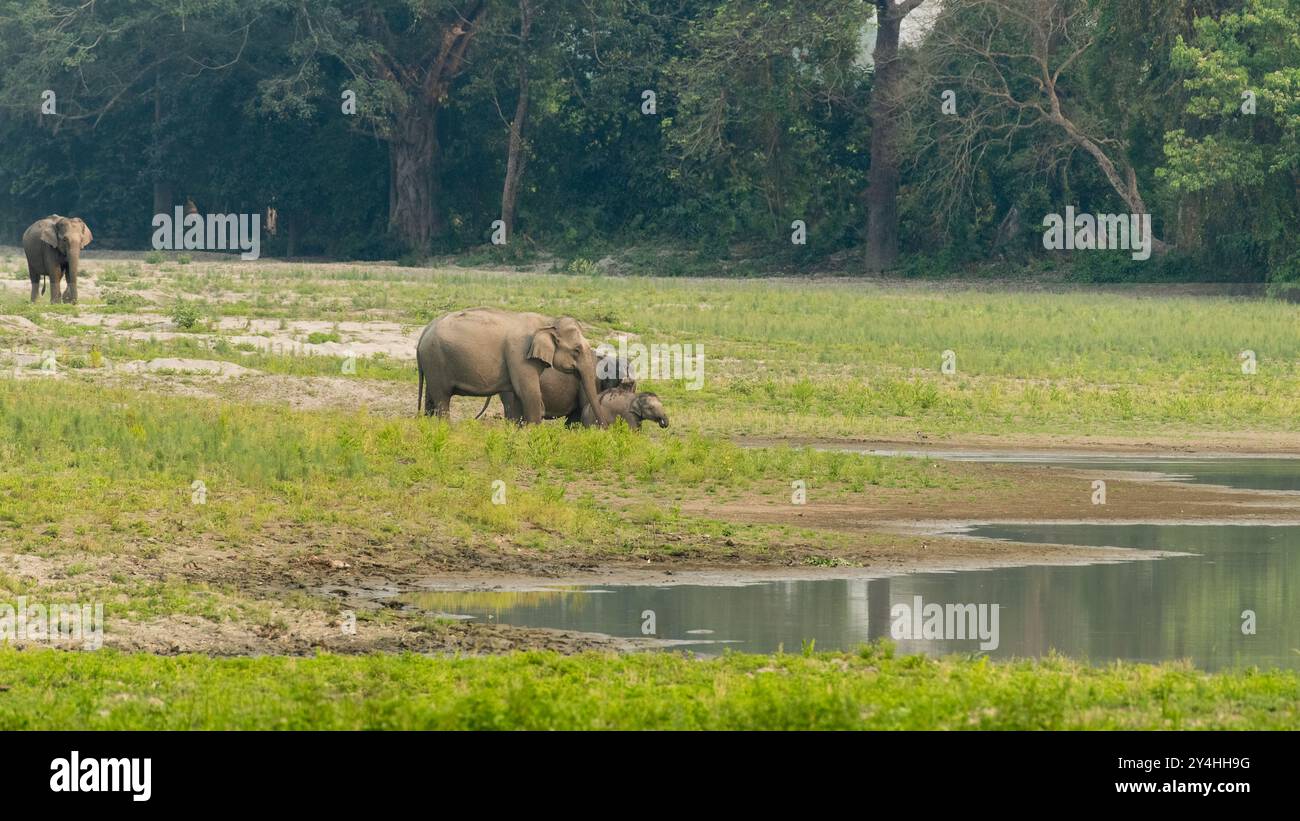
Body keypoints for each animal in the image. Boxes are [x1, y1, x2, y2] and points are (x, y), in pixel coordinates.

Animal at [416, 307, 612, 426]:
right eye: (577, 350)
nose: (605, 429)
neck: (547, 322)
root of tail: (425, 330)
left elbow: (517, 398)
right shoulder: (520, 355)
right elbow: (528, 393)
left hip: (431, 363)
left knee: (431, 397)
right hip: (436, 360)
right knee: (442, 398)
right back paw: (445, 428)